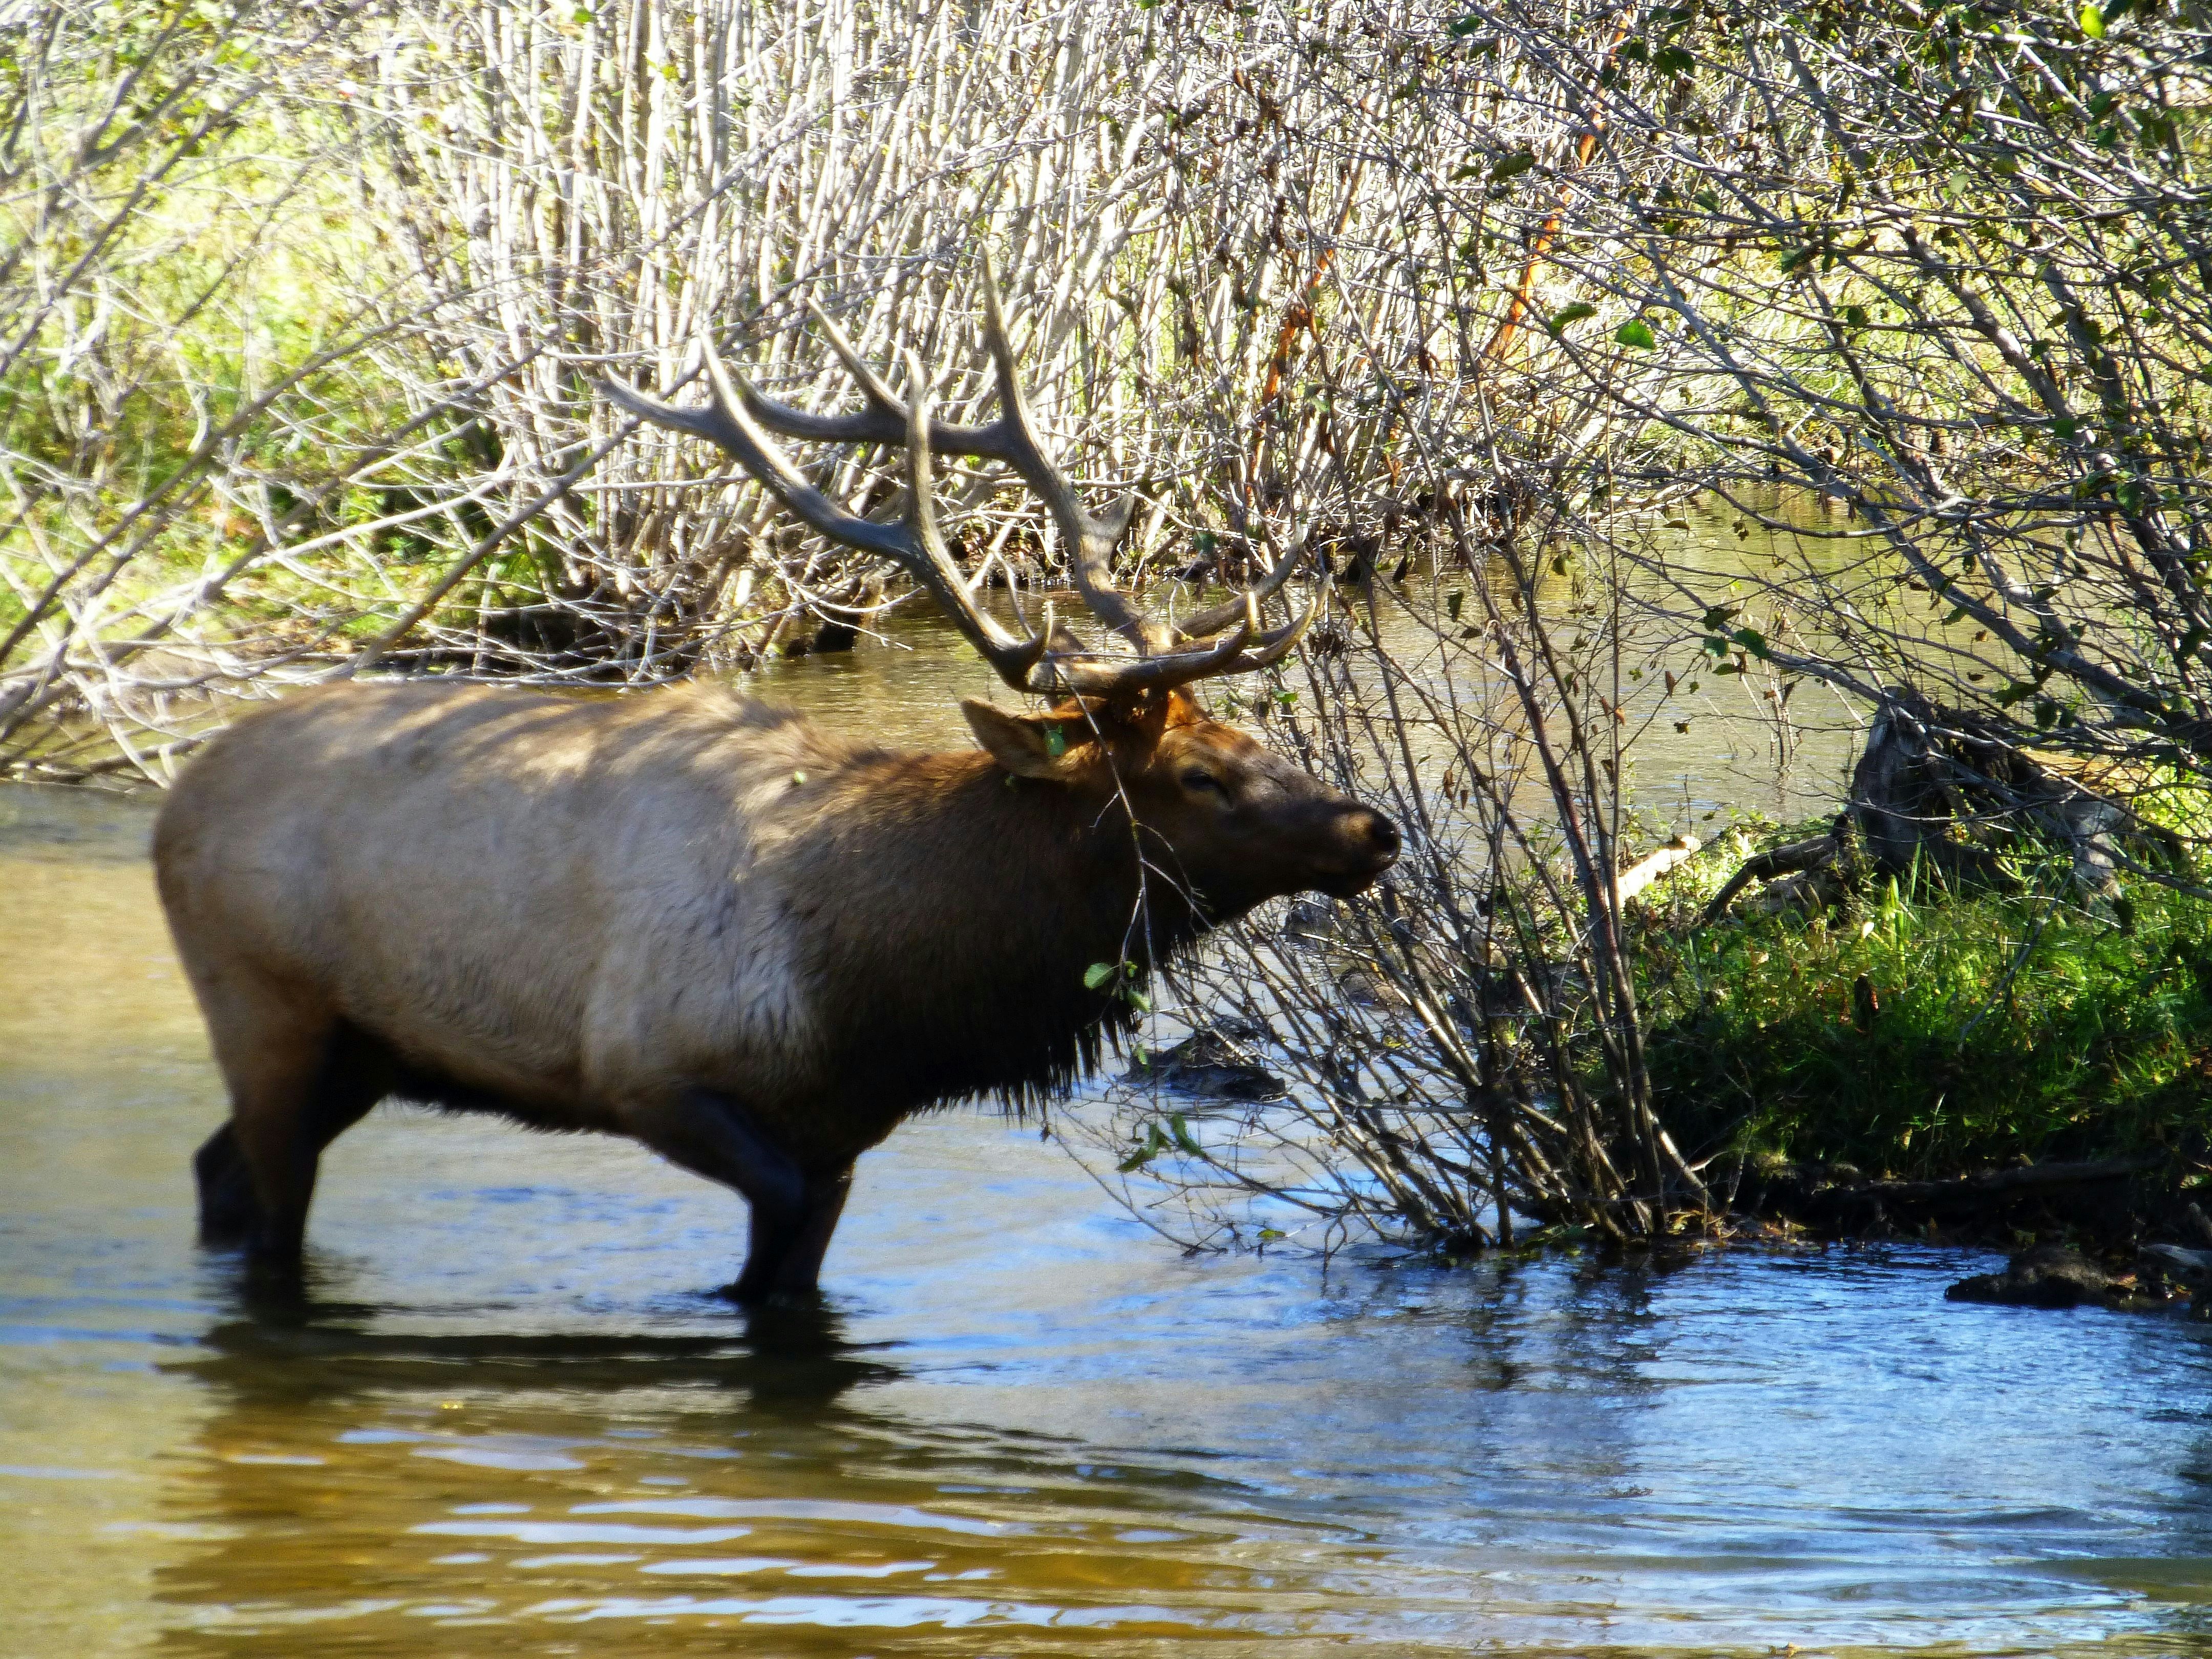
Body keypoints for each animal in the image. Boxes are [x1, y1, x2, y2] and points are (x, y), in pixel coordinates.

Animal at [152, 260, 1401, 1303]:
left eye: (1247, 735)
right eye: (1199, 774)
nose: (1374, 830)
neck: (883, 984)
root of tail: (175, 803)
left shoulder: (839, 1133)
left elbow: (794, 1272)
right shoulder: (648, 1075)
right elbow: (762, 1264)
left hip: (360, 1048)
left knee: (215, 1170)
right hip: (262, 1004)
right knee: (263, 1199)